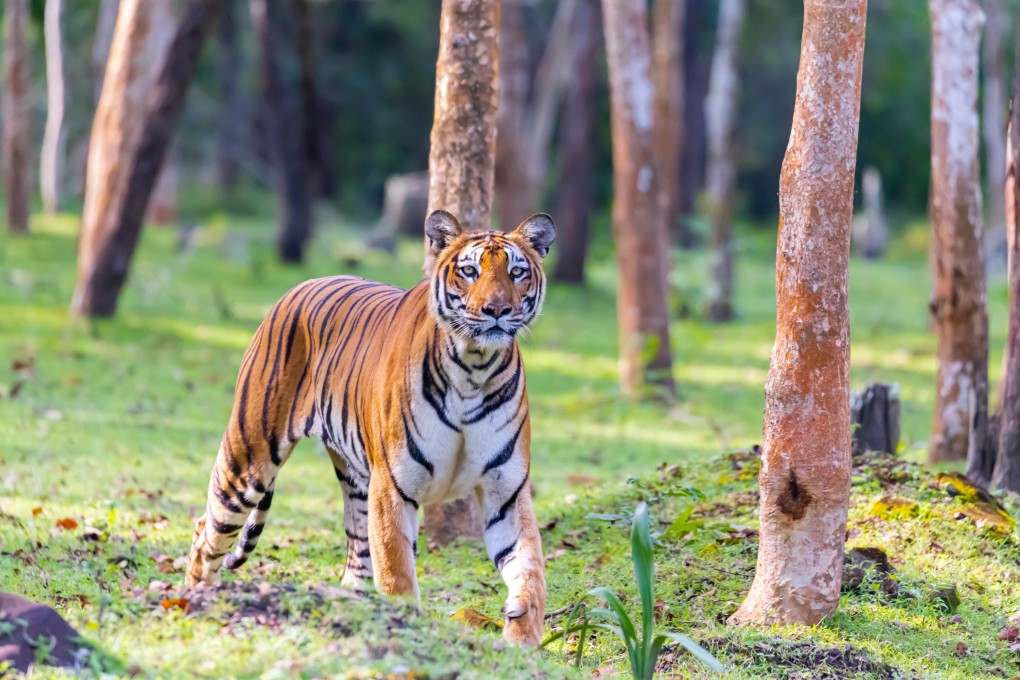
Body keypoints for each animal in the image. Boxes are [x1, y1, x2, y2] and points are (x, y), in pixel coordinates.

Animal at [185, 210, 555, 645]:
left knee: (355, 558)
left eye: (517, 272)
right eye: (469, 271)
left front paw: (522, 639)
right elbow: (397, 571)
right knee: (206, 530)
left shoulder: (505, 491)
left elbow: (530, 569)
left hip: (356, 482)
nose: (497, 309)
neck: (474, 368)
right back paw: (196, 597)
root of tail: (301, 285)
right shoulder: (393, 485)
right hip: (248, 460)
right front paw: (409, 628)